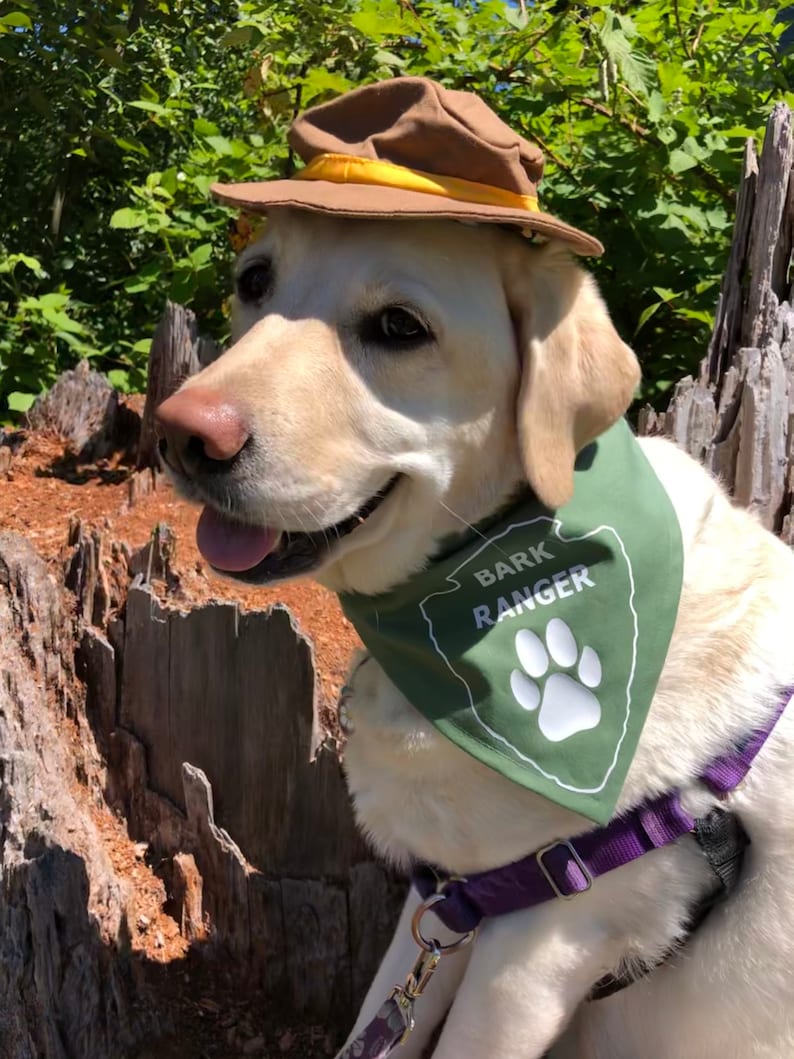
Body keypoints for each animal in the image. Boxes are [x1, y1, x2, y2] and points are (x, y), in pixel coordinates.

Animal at [155, 208, 794, 1059]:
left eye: (400, 327)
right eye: (253, 280)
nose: (184, 434)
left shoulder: (539, 942)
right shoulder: (451, 899)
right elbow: (378, 1025)